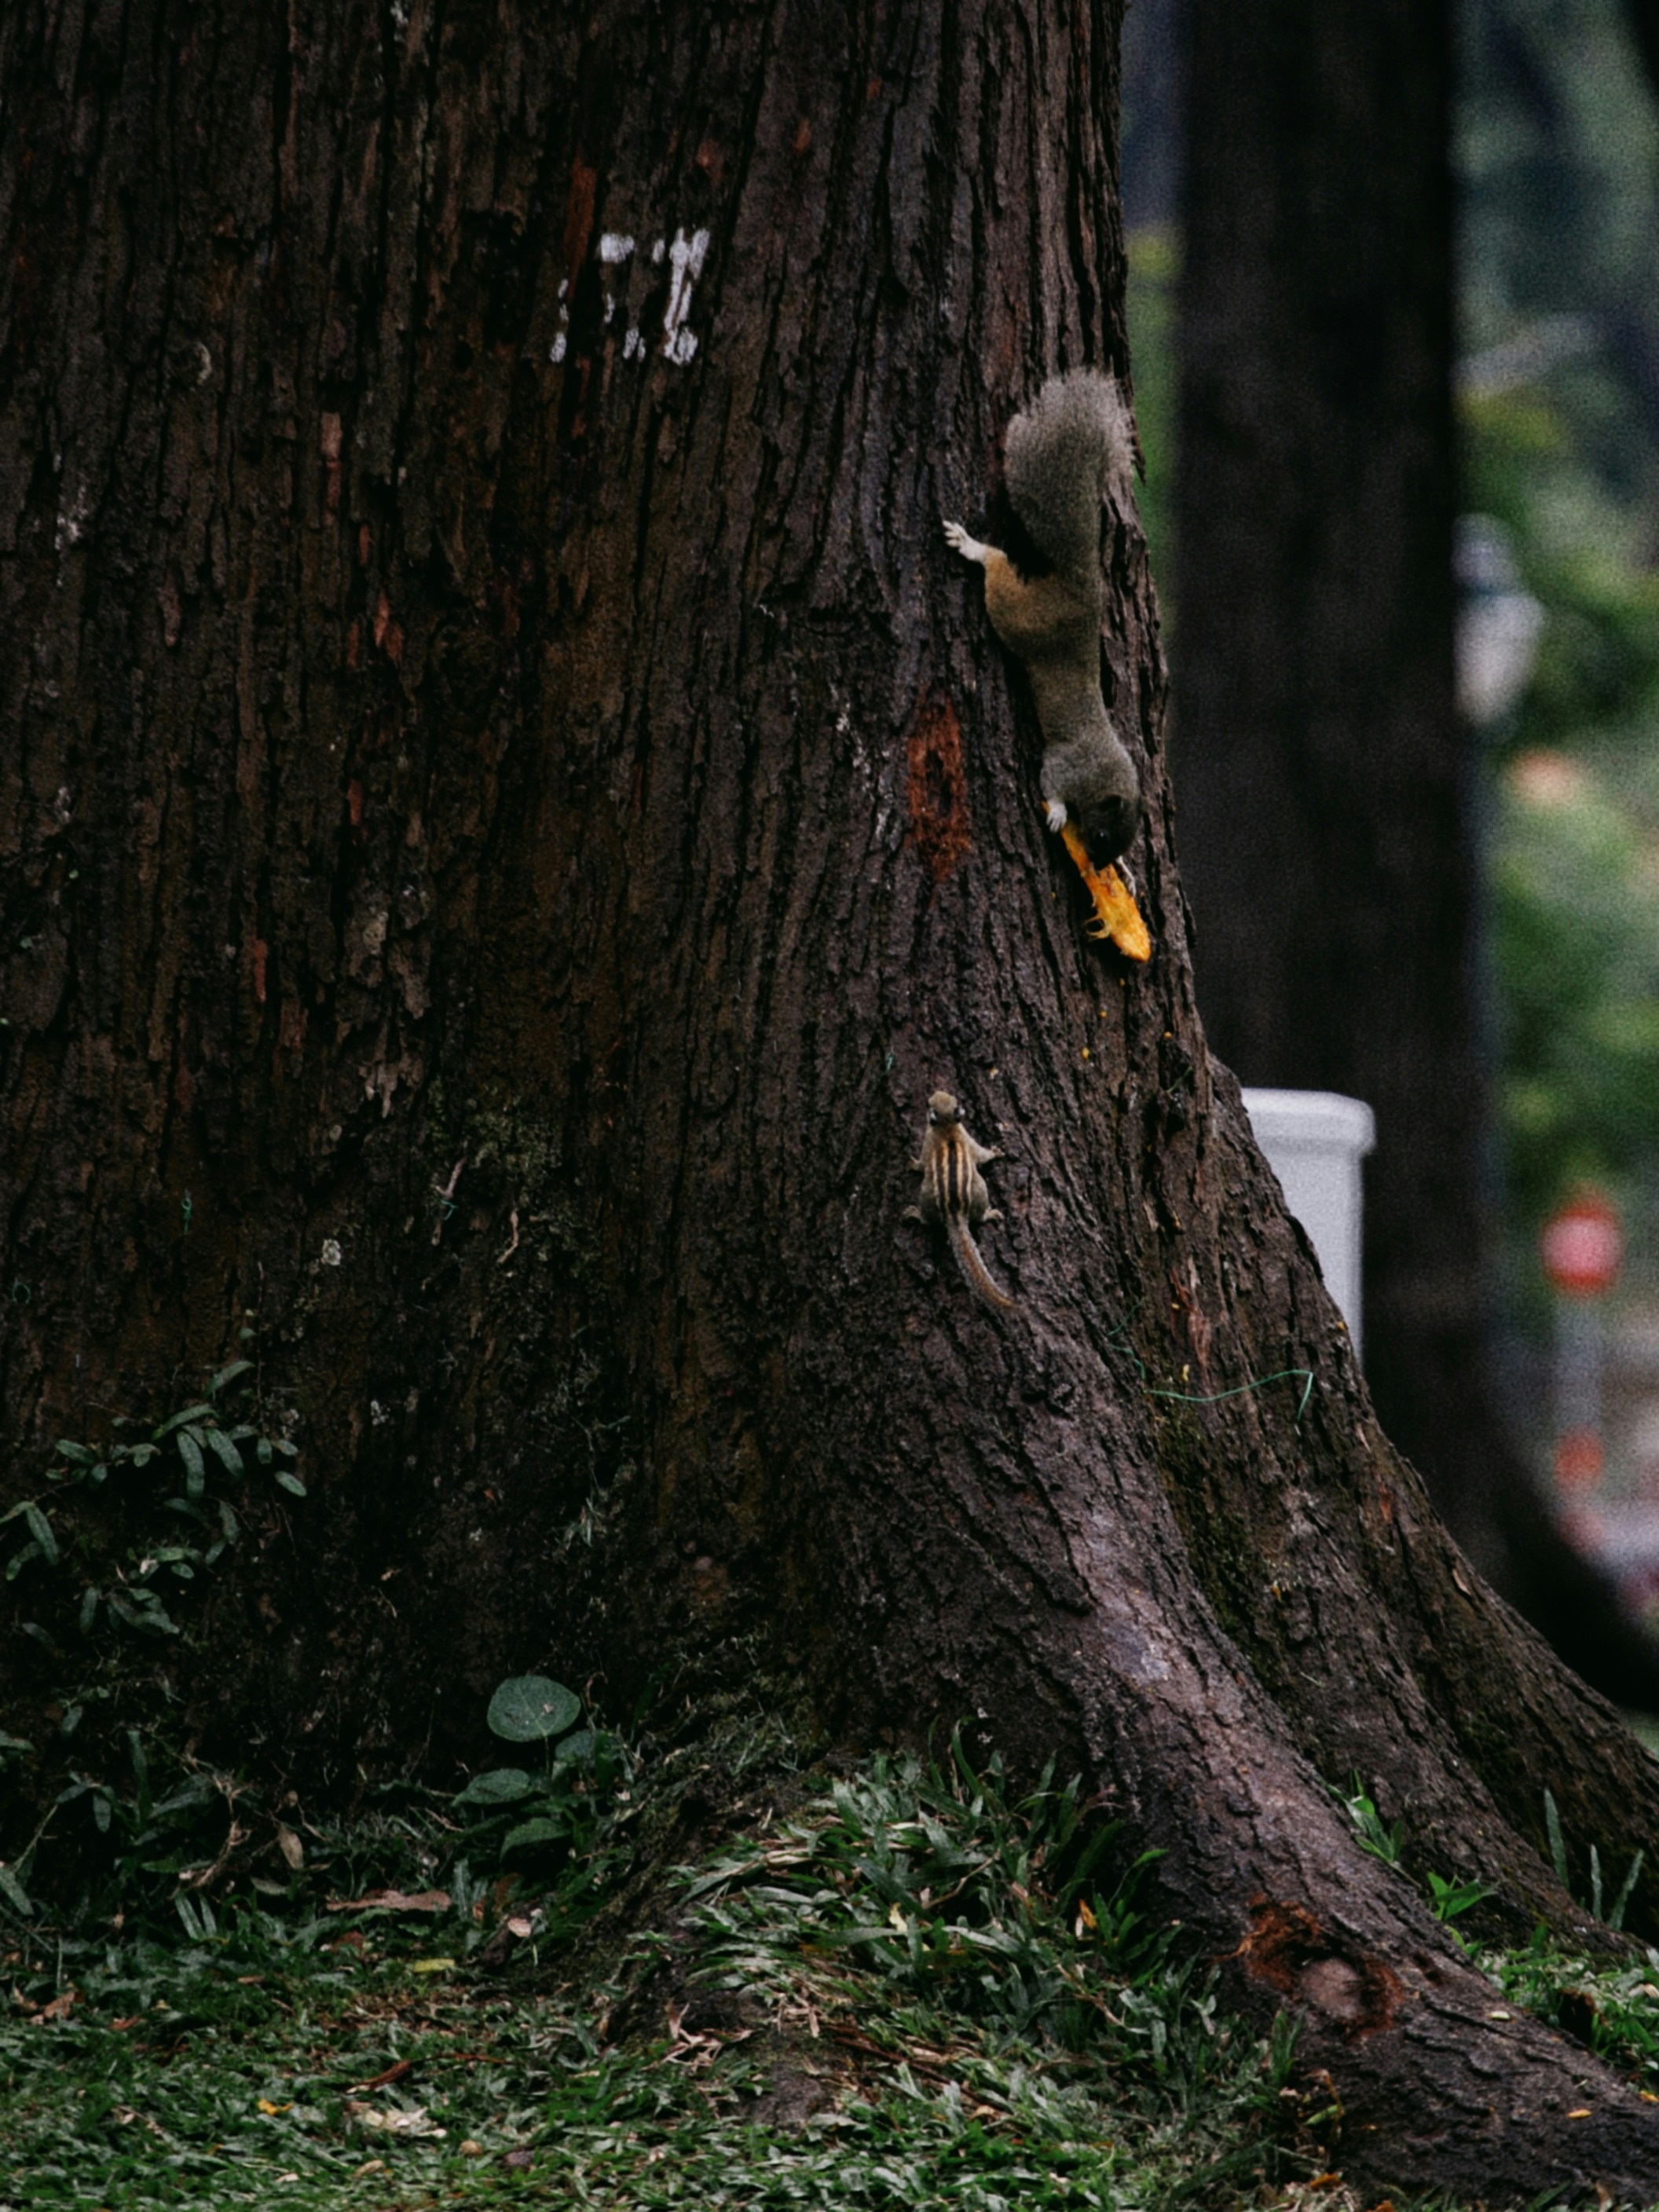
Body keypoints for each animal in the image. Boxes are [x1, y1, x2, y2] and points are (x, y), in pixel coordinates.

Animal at [906, 1090, 1016, 1313]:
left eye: (928, 1103)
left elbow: (922, 1164)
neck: (947, 1127)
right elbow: (982, 1155)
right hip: (978, 1188)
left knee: (929, 1220)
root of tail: (955, 1213)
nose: (936, 1092)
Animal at [943, 369, 1142, 870]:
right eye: (1104, 834)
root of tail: (1081, 587)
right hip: (1021, 617)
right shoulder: (1068, 764)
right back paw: (973, 547)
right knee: (997, 568)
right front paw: (1057, 813)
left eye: (1120, 841)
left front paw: (1127, 873)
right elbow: (1050, 782)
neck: (1106, 769)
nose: (1100, 865)